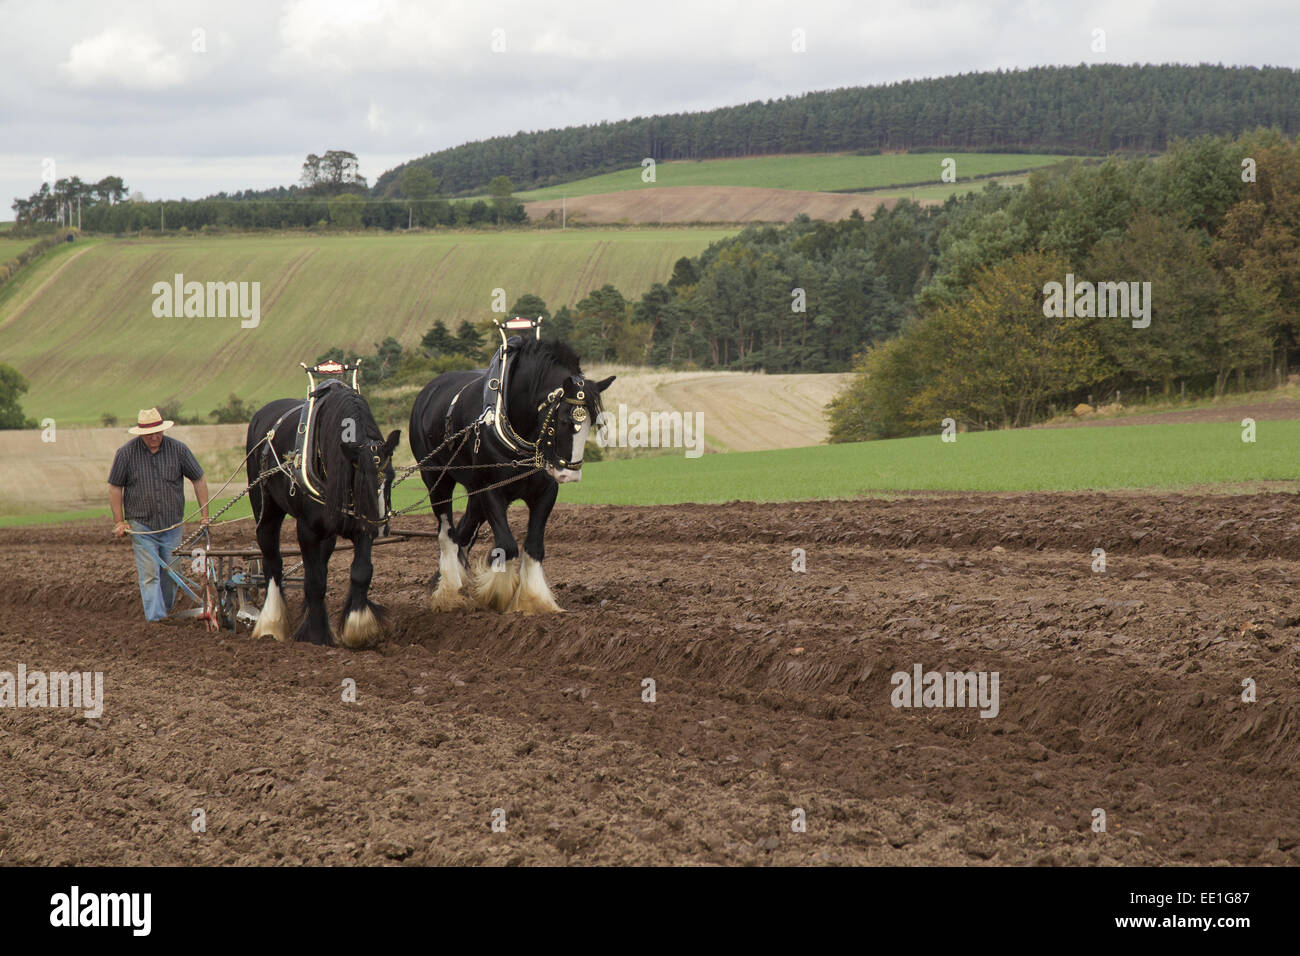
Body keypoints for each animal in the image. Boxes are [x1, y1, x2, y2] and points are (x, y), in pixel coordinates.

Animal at [245, 380, 400, 648]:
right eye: (361, 483)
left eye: (389, 478)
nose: (380, 527)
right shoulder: (307, 530)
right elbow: (314, 583)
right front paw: (317, 636)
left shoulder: (361, 528)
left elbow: (360, 572)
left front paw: (359, 627)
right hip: (266, 510)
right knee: (272, 559)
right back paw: (271, 622)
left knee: (321, 565)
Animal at [409, 334, 613, 614]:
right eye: (562, 421)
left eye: (592, 423)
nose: (568, 475)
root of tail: (428, 390)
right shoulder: (490, 490)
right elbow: (506, 545)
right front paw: (496, 594)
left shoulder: (545, 492)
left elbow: (534, 546)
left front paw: (535, 600)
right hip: (436, 478)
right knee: (446, 532)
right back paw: (449, 591)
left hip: (473, 491)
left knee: (463, 532)